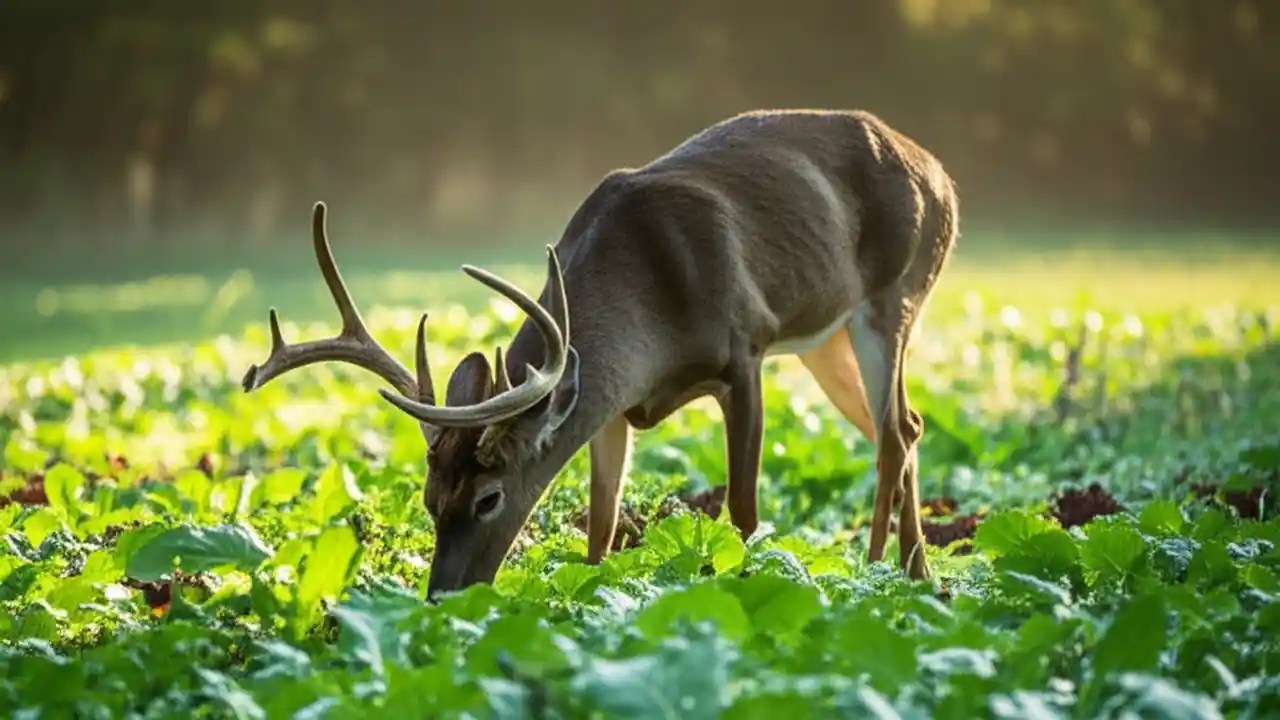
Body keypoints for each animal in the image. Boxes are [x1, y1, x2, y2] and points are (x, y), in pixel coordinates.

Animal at [241, 109, 959, 597]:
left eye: (487, 499)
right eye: (427, 498)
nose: (442, 597)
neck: (649, 299)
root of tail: (942, 174)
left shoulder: (745, 348)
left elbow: (743, 512)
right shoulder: (614, 405)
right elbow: (600, 528)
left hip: (895, 296)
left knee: (894, 431)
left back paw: (877, 572)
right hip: (826, 339)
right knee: (907, 424)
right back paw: (918, 572)